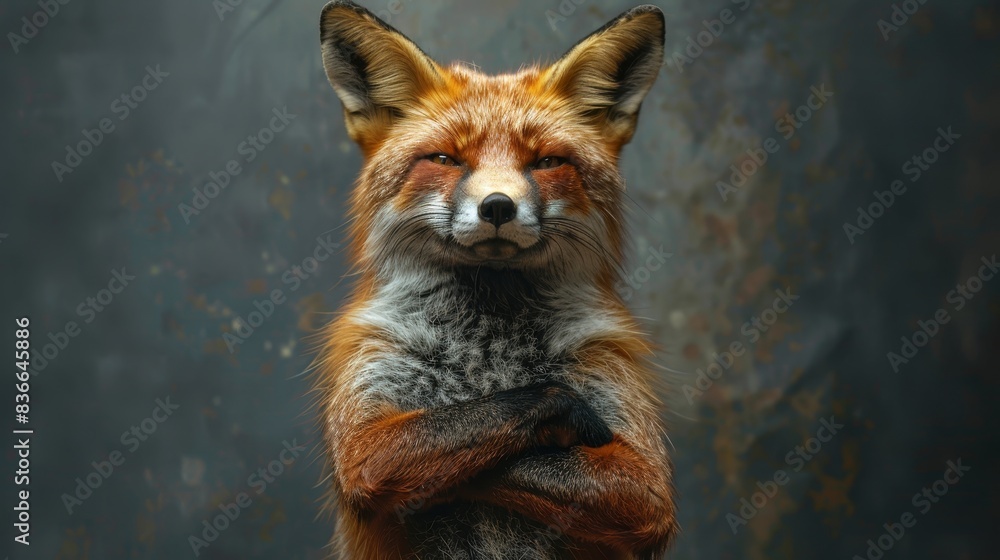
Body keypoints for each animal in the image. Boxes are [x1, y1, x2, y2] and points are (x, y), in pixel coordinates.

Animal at [311, 1, 677, 558]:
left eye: (547, 161)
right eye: (445, 158)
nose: (498, 206)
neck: (486, 344)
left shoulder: (642, 476)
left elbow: (631, 489)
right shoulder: (364, 429)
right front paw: (565, 413)